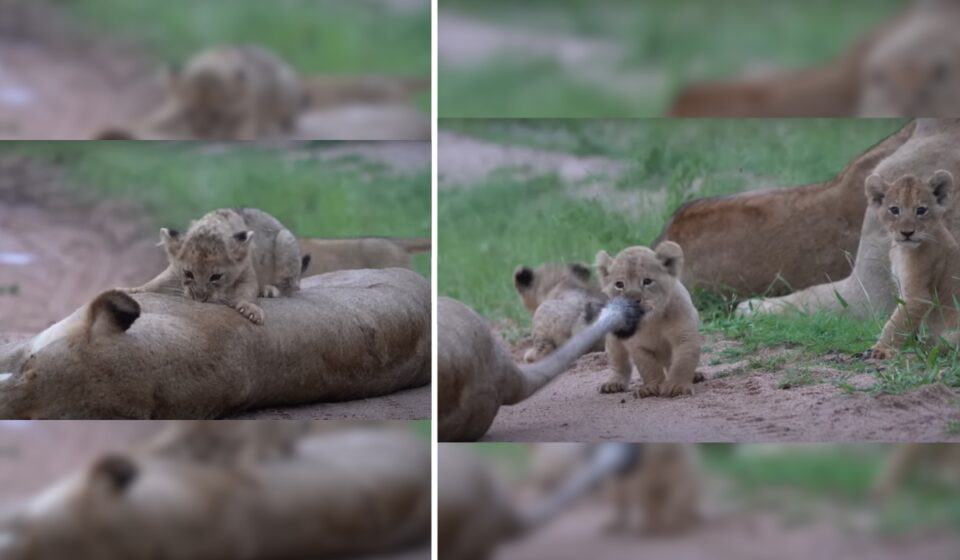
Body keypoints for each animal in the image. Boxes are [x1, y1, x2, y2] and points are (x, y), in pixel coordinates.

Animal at [129, 208, 304, 325]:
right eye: (188, 273)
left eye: (216, 277)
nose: (200, 298)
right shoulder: (174, 270)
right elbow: (156, 282)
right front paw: (132, 290)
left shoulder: (246, 271)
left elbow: (247, 291)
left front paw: (251, 310)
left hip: (285, 240)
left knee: (291, 286)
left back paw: (268, 289)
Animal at [595, 242, 701, 398]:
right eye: (619, 284)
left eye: (647, 281)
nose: (632, 300)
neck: (652, 321)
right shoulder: (638, 346)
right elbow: (649, 367)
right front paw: (652, 388)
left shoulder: (685, 336)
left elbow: (683, 362)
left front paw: (677, 387)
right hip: (613, 339)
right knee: (618, 362)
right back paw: (613, 383)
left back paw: (696, 376)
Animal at [862, 171, 960, 359]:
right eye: (894, 210)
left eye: (921, 210)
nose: (907, 233)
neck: (902, 251)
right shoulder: (904, 289)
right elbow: (907, 323)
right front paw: (910, 344)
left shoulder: (918, 295)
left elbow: (896, 323)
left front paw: (881, 349)